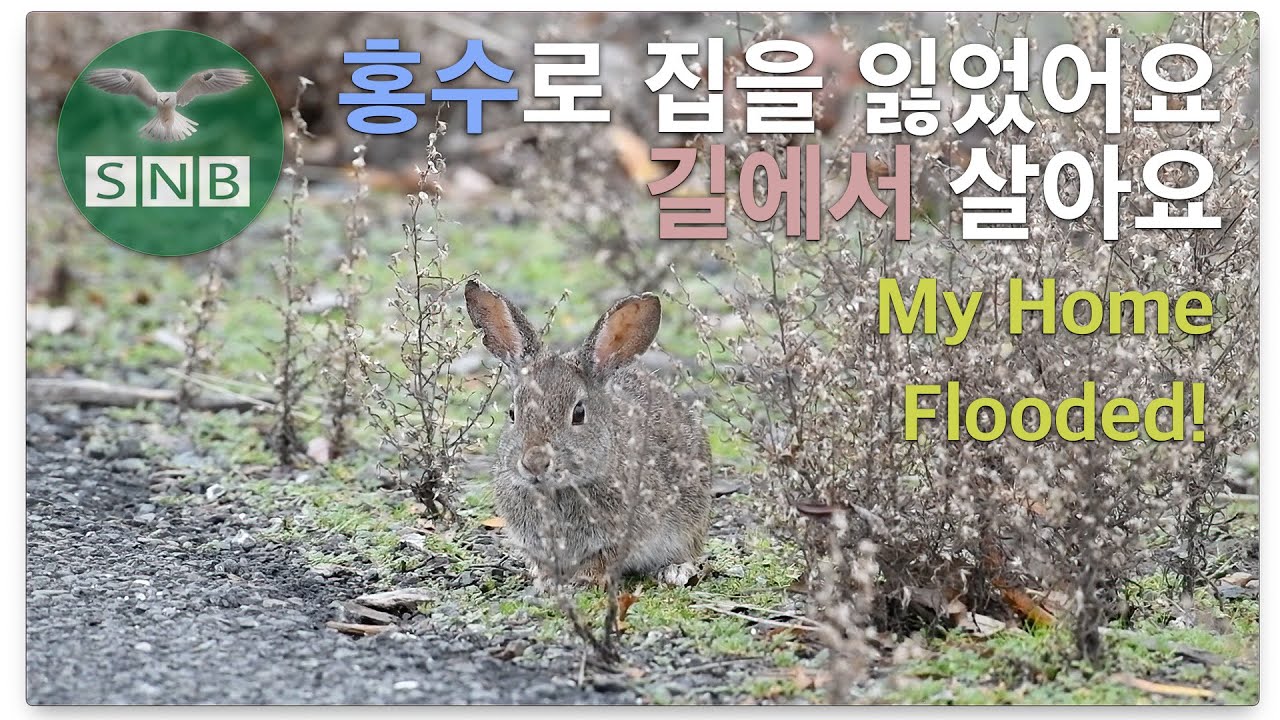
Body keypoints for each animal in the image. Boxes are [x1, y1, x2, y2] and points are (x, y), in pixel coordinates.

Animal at [464, 279, 713, 595]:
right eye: (512, 413)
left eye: (579, 413)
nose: (534, 463)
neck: (559, 488)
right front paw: (548, 582)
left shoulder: (621, 534)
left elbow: (601, 560)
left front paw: (582, 581)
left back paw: (674, 571)